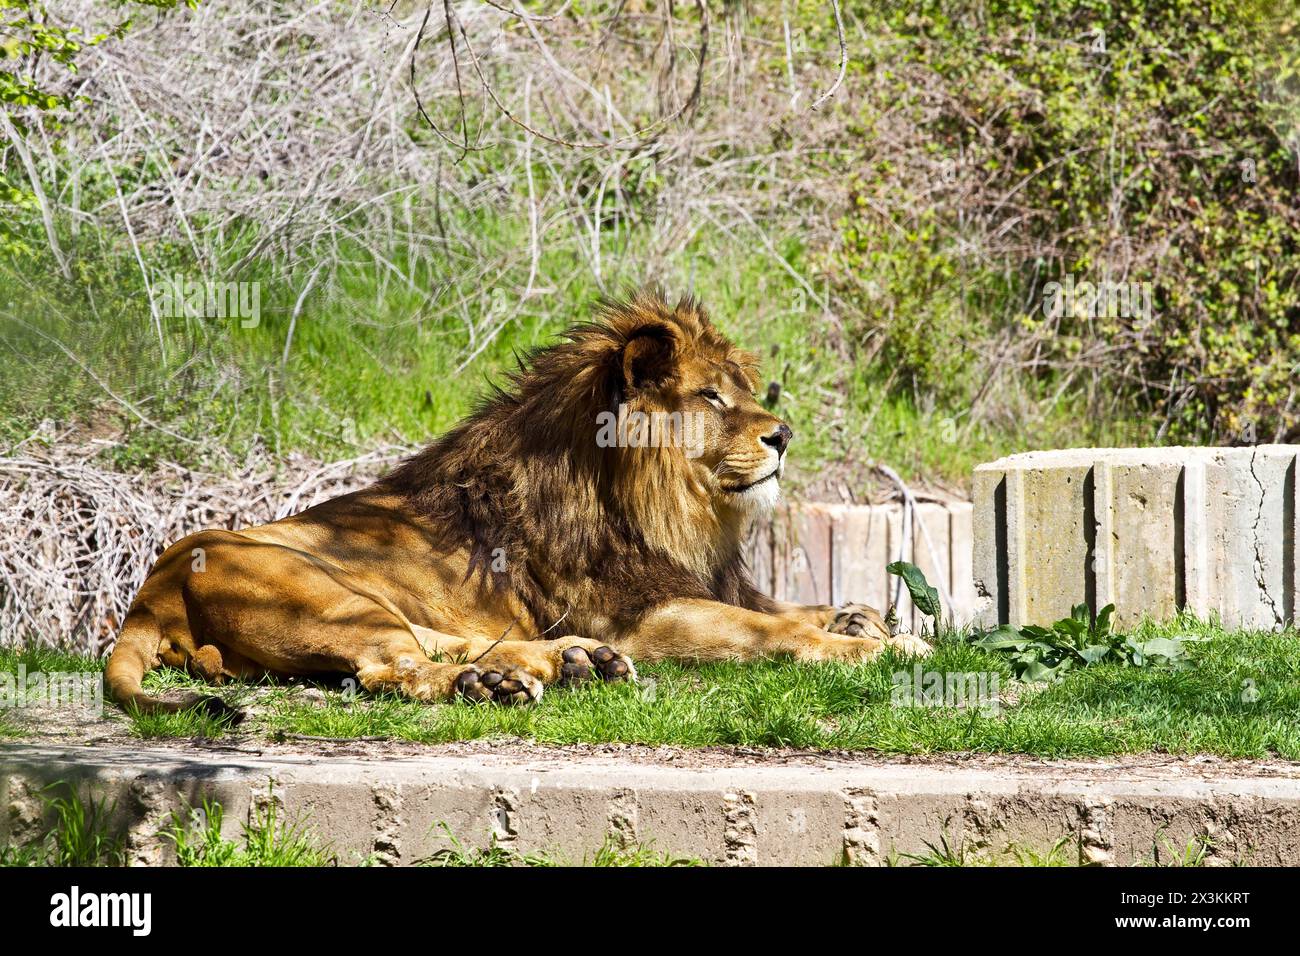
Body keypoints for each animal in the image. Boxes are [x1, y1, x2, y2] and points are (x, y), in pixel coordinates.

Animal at [106, 290, 930, 717]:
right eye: (709, 397)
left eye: (745, 391)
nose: (784, 435)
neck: (666, 508)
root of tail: (151, 594)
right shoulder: (646, 617)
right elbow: (769, 631)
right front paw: (875, 647)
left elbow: (788, 607)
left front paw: (865, 618)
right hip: (319, 593)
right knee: (391, 668)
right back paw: (504, 681)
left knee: (438, 641)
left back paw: (565, 662)